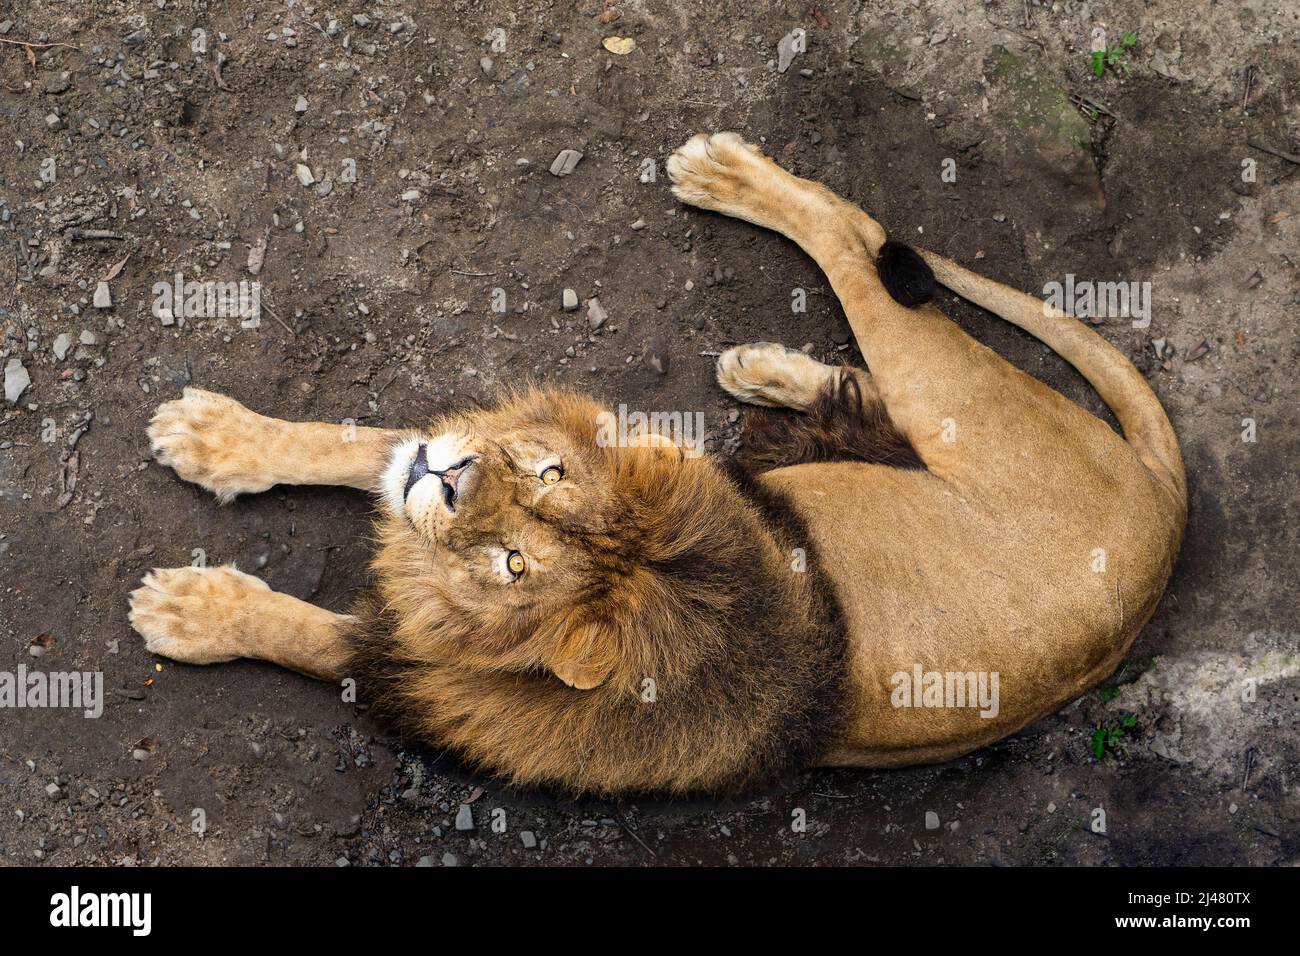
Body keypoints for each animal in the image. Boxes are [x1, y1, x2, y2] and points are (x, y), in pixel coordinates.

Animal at [129, 132, 1186, 795]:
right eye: (546, 476)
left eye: (517, 562)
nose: (450, 481)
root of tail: (1169, 516)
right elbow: (355, 442)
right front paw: (214, 435)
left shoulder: (429, 680)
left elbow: (306, 632)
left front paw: (189, 609)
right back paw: (761, 364)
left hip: (954, 399)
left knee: (858, 242)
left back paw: (725, 176)